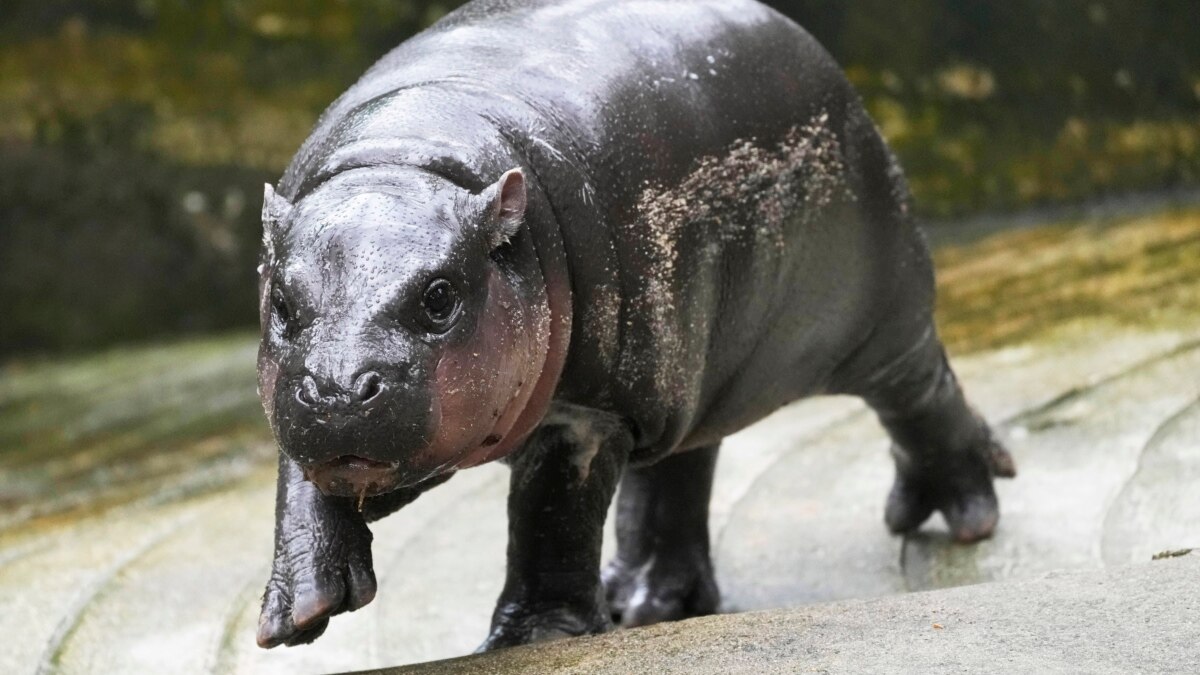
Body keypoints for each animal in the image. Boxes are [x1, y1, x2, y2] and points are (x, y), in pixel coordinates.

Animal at [254, 0, 1017, 652]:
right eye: (282, 303)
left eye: (440, 295)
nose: (339, 390)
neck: (407, 159)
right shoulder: (296, 397)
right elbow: (300, 480)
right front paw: (301, 610)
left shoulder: (591, 410)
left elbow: (552, 517)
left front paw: (535, 639)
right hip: (693, 368)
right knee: (678, 472)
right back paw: (647, 602)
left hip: (877, 316)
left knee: (920, 391)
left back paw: (962, 513)